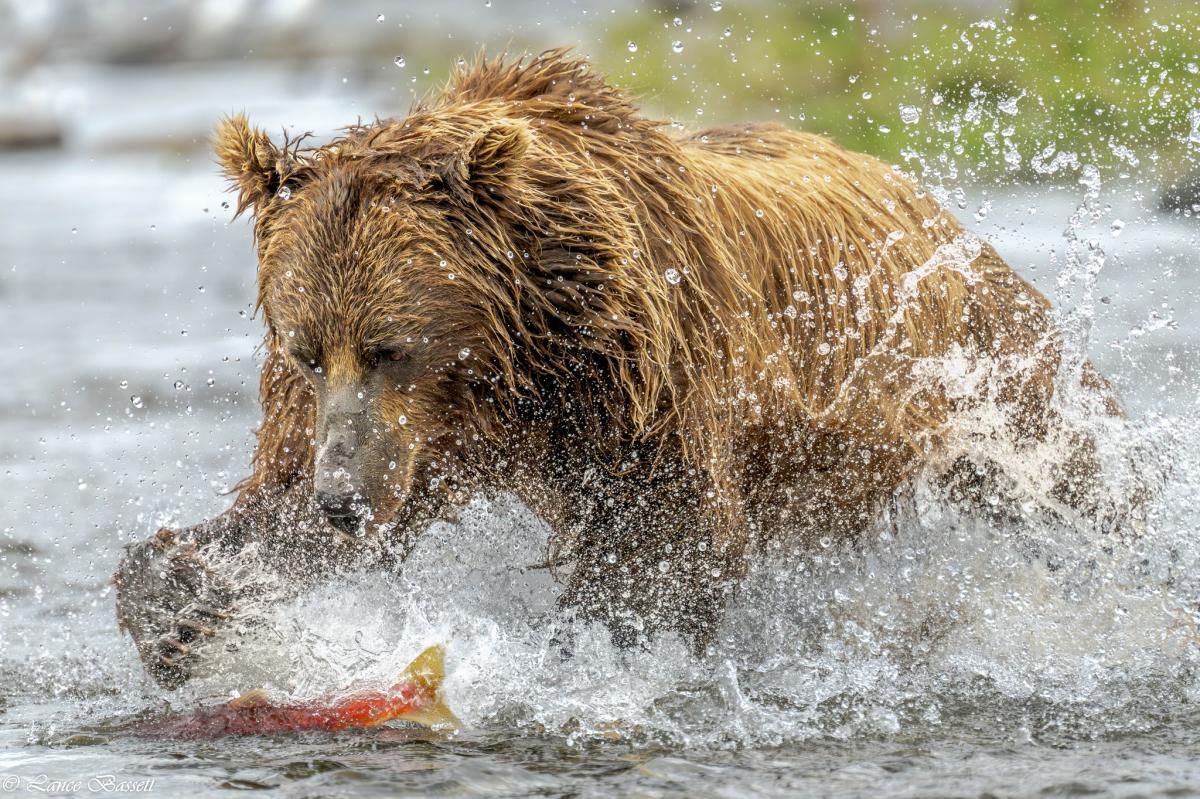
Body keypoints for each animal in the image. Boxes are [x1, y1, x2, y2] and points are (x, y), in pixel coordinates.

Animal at [114, 48, 1113, 689]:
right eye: (306, 349)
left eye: (393, 345)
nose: (343, 498)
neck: (508, 367)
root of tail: (915, 191)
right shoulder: (401, 433)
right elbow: (274, 512)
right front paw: (181, 600)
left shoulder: (637, 370)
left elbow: (666, 531)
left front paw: (587, 638)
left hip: (974, 359)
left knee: (1072, 465)